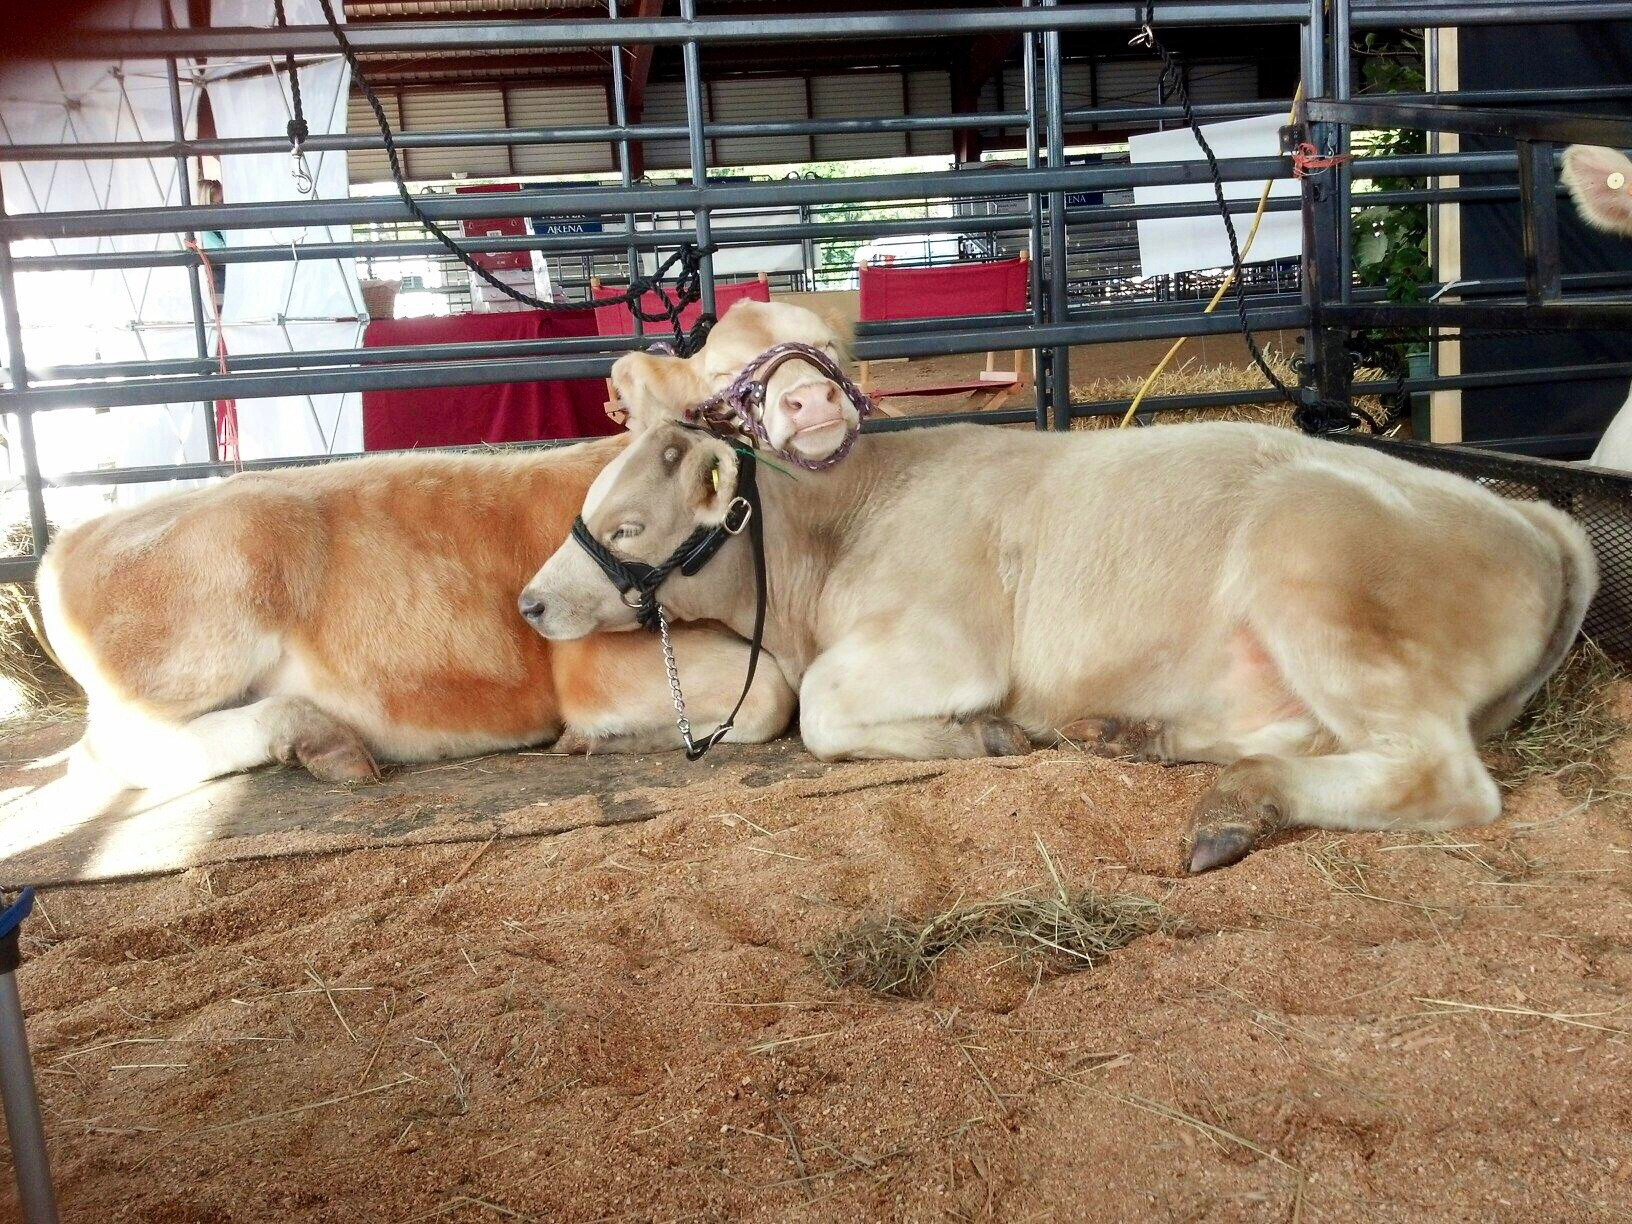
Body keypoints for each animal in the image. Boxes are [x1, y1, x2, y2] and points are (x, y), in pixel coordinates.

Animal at [519, 420, 1595, 873]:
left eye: (624, 525)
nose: (529, 602)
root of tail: (1528, 515)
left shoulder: (947, 643)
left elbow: (820, 706)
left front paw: (984, 735)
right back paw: (1139, 739)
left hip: (1311, 581)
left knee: (1440, 776)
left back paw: (1233, 804)